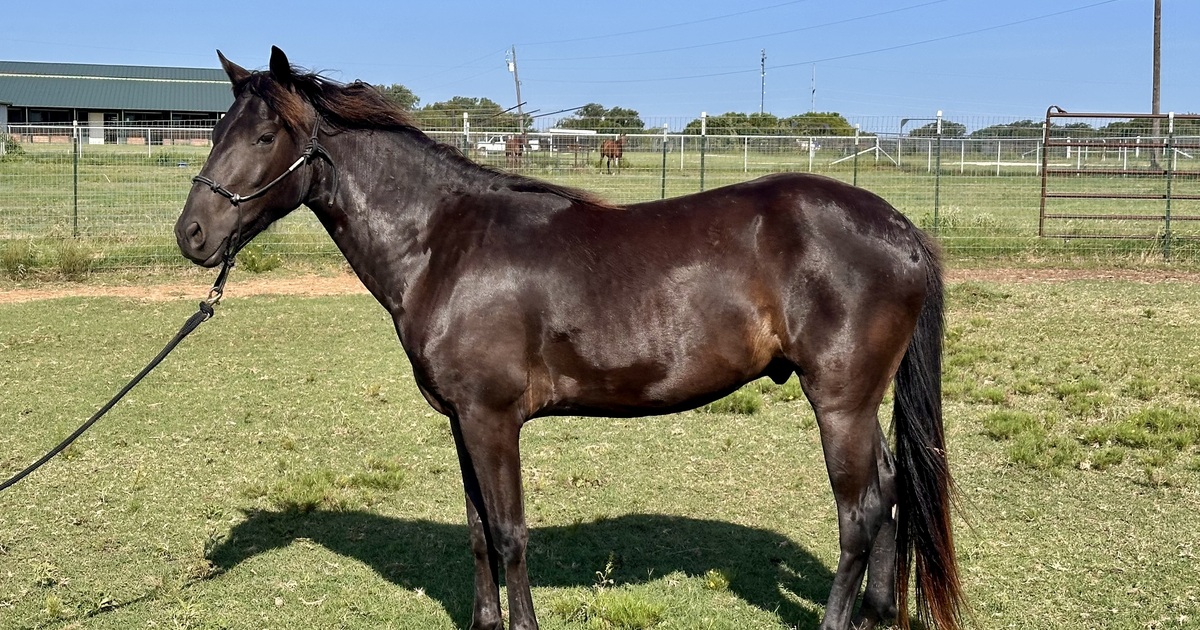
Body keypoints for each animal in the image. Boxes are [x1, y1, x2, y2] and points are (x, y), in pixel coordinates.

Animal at [176, 47, 963, 630]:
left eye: (265, 136)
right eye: (214, 131)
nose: (192, 235)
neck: (443, 244)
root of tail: (899, 229)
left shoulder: (493, 419)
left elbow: (509, 532)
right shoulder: (462, 421)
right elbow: (477, 530)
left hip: (840, 401)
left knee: (859, 512)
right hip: (857, 403)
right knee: (889, 490)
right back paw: (878, 611)